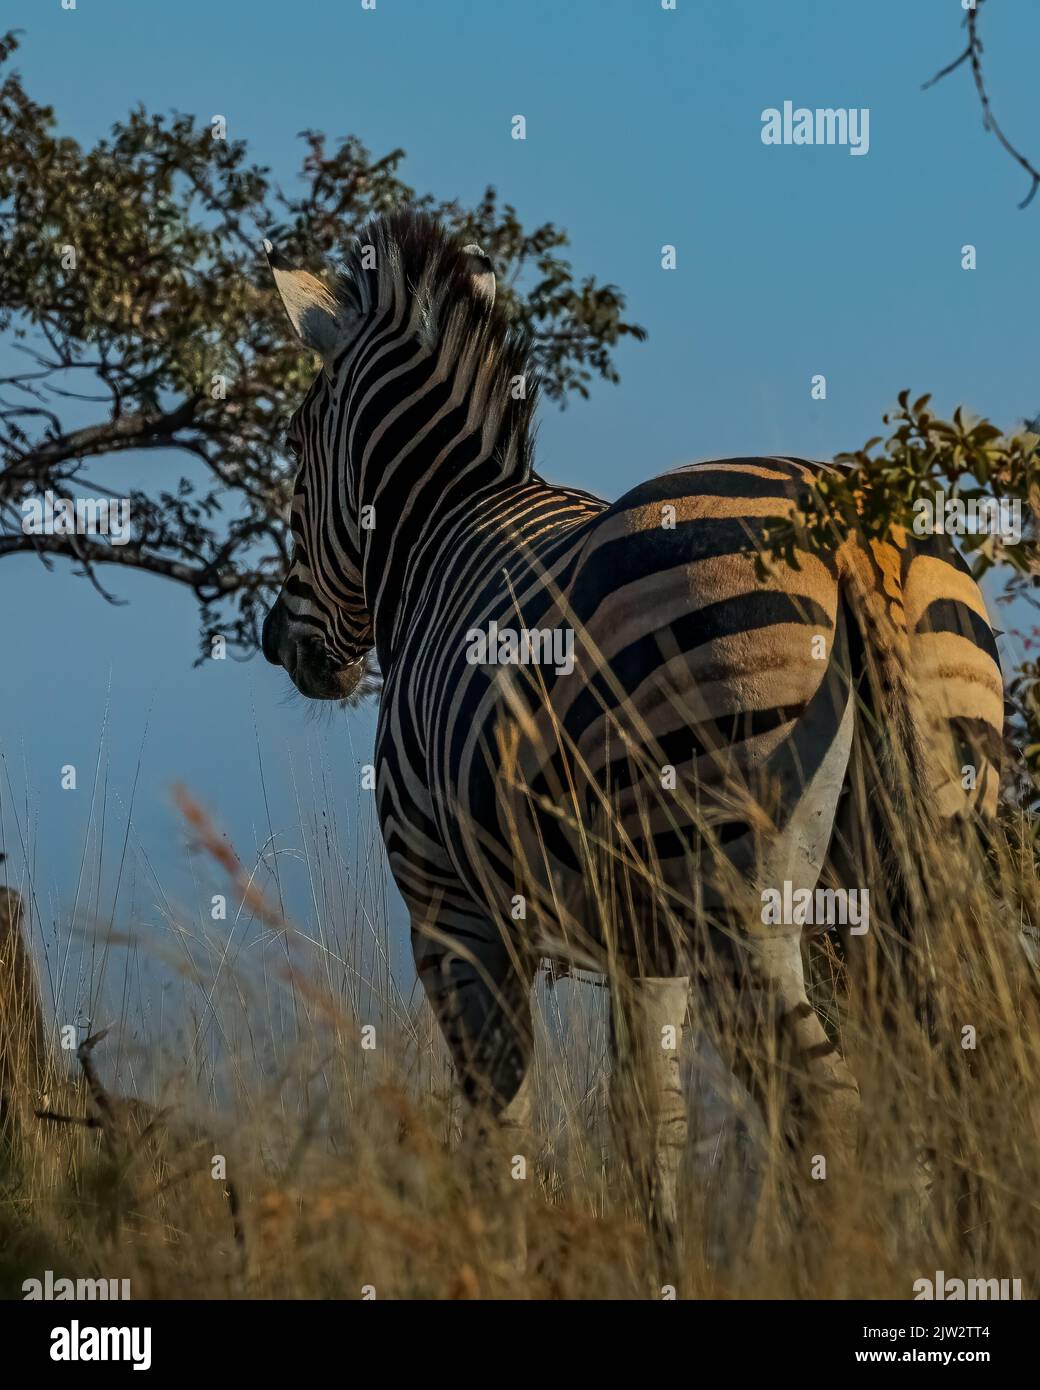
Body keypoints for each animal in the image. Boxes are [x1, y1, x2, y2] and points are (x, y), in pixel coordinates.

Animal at [260, 210, 1004, 1265]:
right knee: (959, 1081)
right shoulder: (640, 940)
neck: (441, 530)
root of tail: (841, 523)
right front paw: (662, 1262)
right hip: (922, 853)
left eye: (294, 441)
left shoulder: (450, 911)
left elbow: (500, 1124)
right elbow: (649, 1122)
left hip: (737, 881)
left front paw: (500, 1260)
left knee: (826, 1108)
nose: (276, 642)